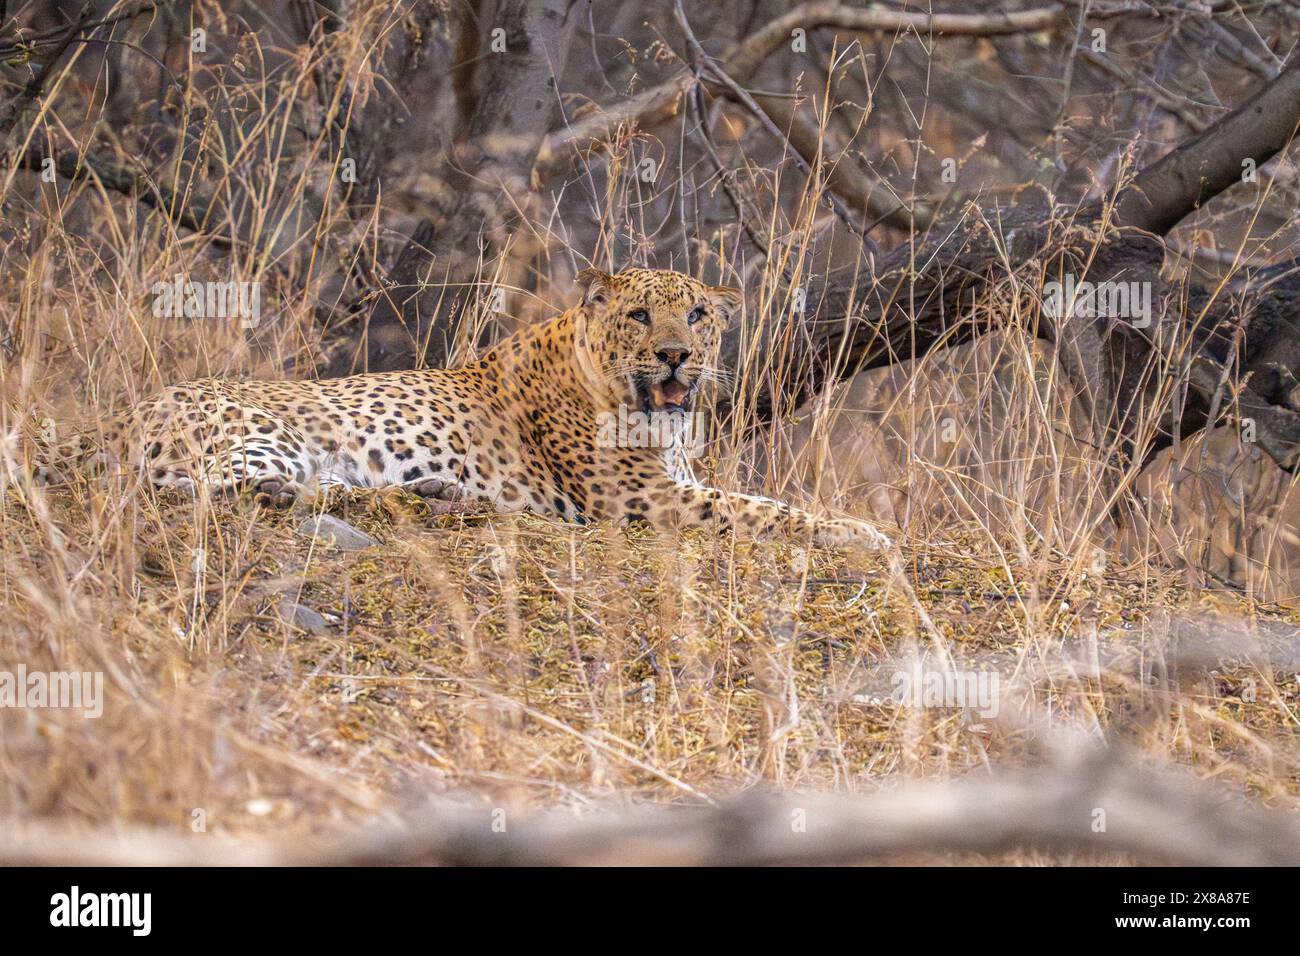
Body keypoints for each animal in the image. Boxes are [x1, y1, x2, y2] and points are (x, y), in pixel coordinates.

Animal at [43, 268, 892, 550]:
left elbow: (761, 502)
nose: (679, 354)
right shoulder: (640, 499)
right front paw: (863, 533)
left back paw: (438, 491)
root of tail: (117, 418)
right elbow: (764, 509)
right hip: (263, 434)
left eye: (699, 315)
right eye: (641, 316)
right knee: (236, 490)